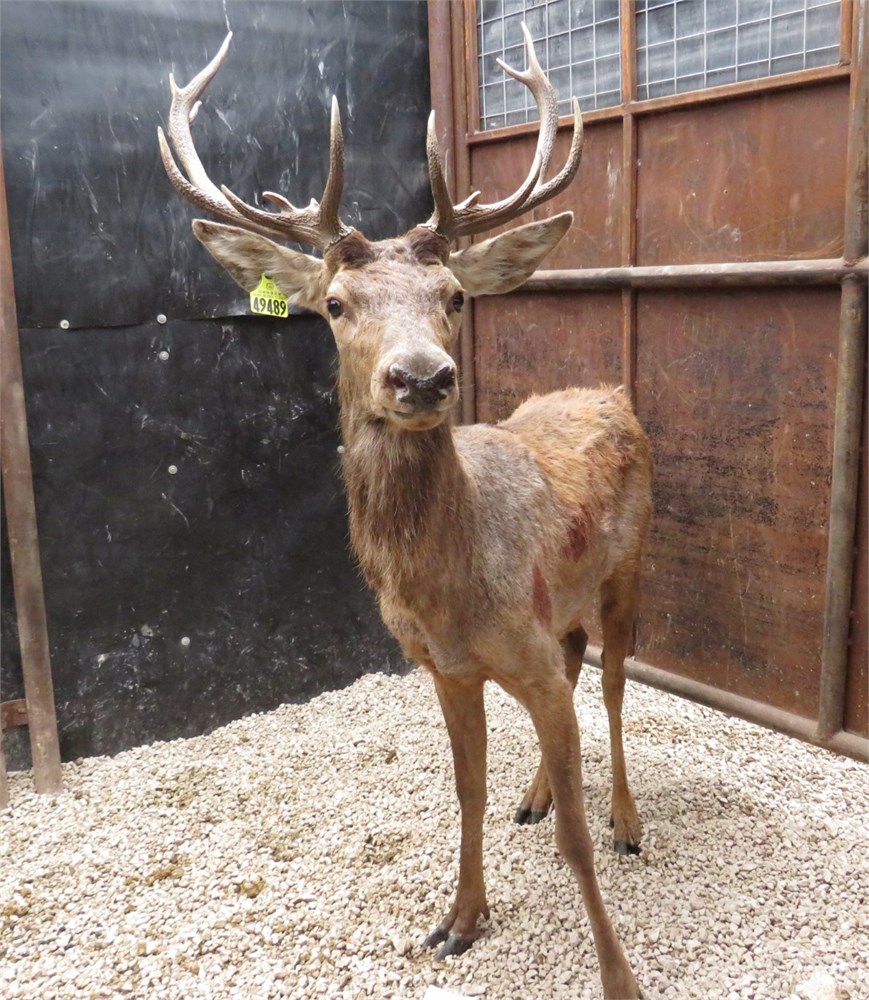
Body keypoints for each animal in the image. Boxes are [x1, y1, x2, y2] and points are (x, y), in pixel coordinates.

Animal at [159, 27, 651, 999]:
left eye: (454, 297)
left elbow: (576, 838)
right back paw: (534, 793)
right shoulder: (446, 668)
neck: (451, 592)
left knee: (614, 684)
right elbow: (463, 790)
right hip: (568, 602)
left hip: (632, 564)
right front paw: (458, 921)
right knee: (581, 665)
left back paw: (626, 820)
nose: (422, 376)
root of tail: (610, 391)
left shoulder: (523, 655)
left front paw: (619, 975)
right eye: (334, 304)